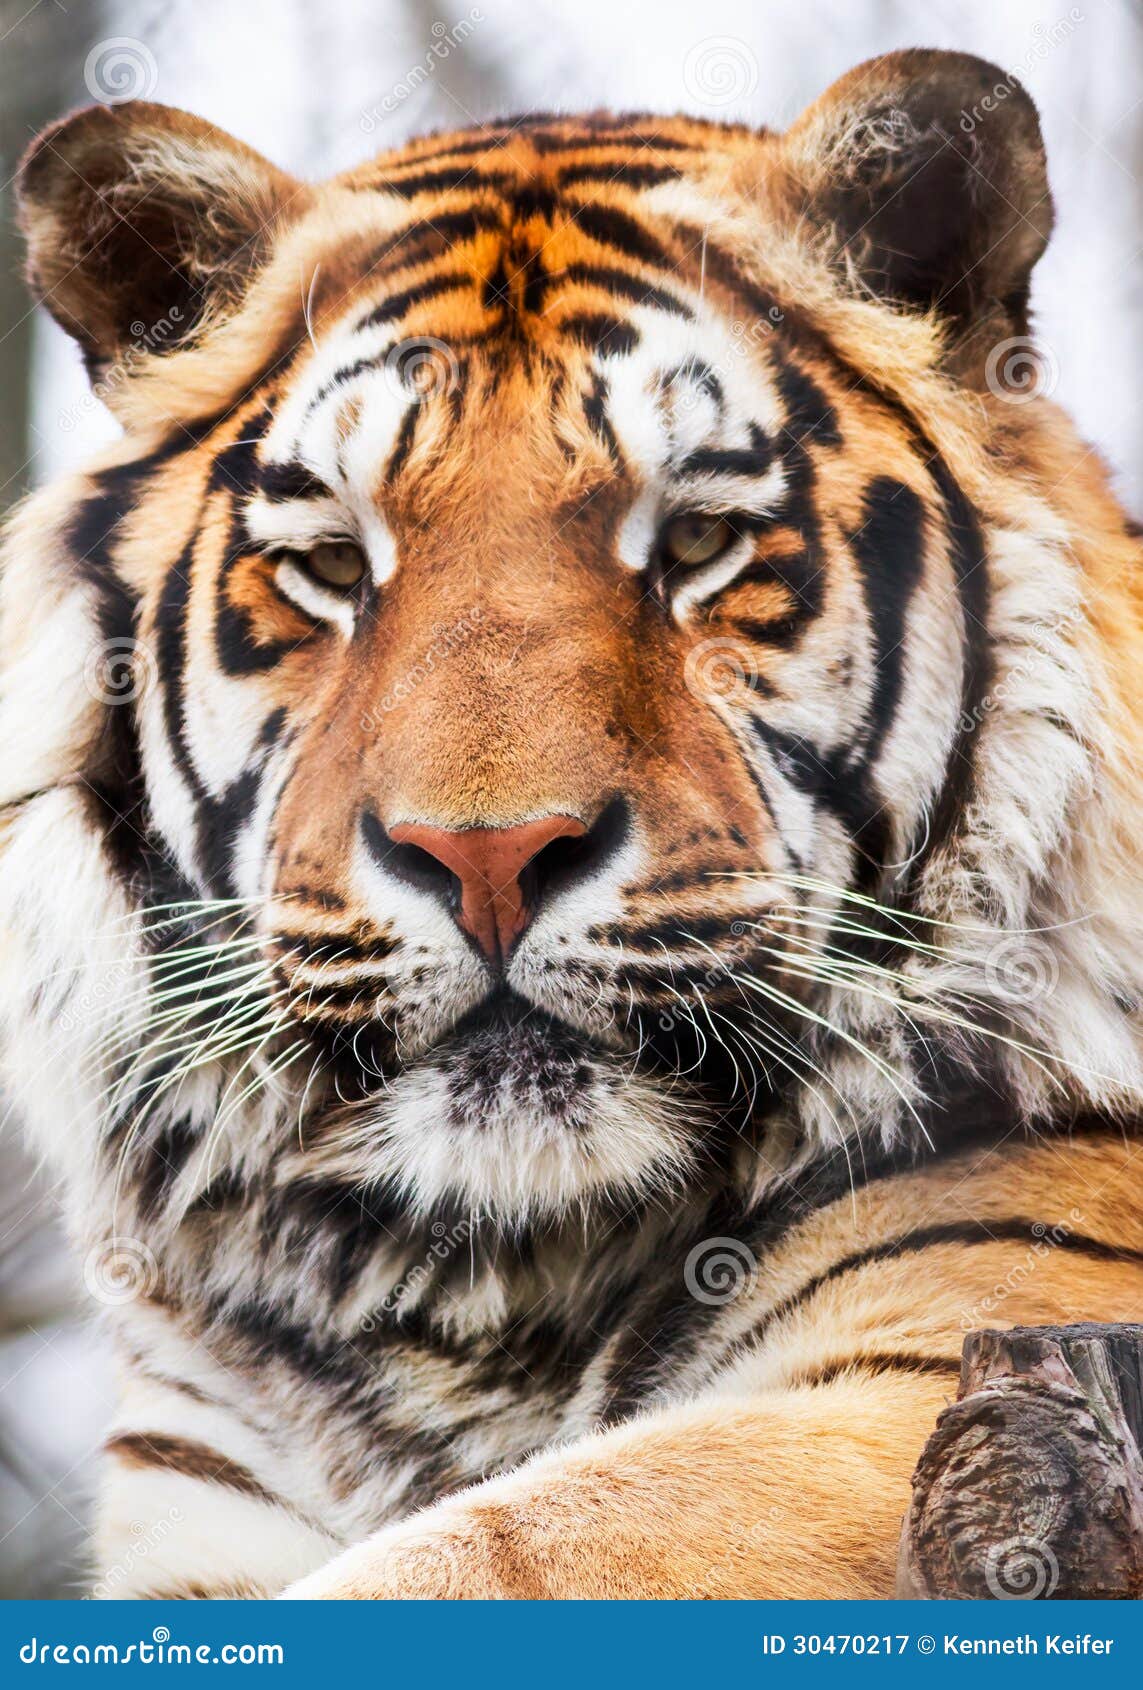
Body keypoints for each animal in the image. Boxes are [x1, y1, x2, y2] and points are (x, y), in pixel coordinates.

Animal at [2, 46, 1142, 1601]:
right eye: (332, 567)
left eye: (696, 542)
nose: (487, 857)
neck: (484, 1290)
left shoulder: (921, 1379)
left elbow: (482, 1552)